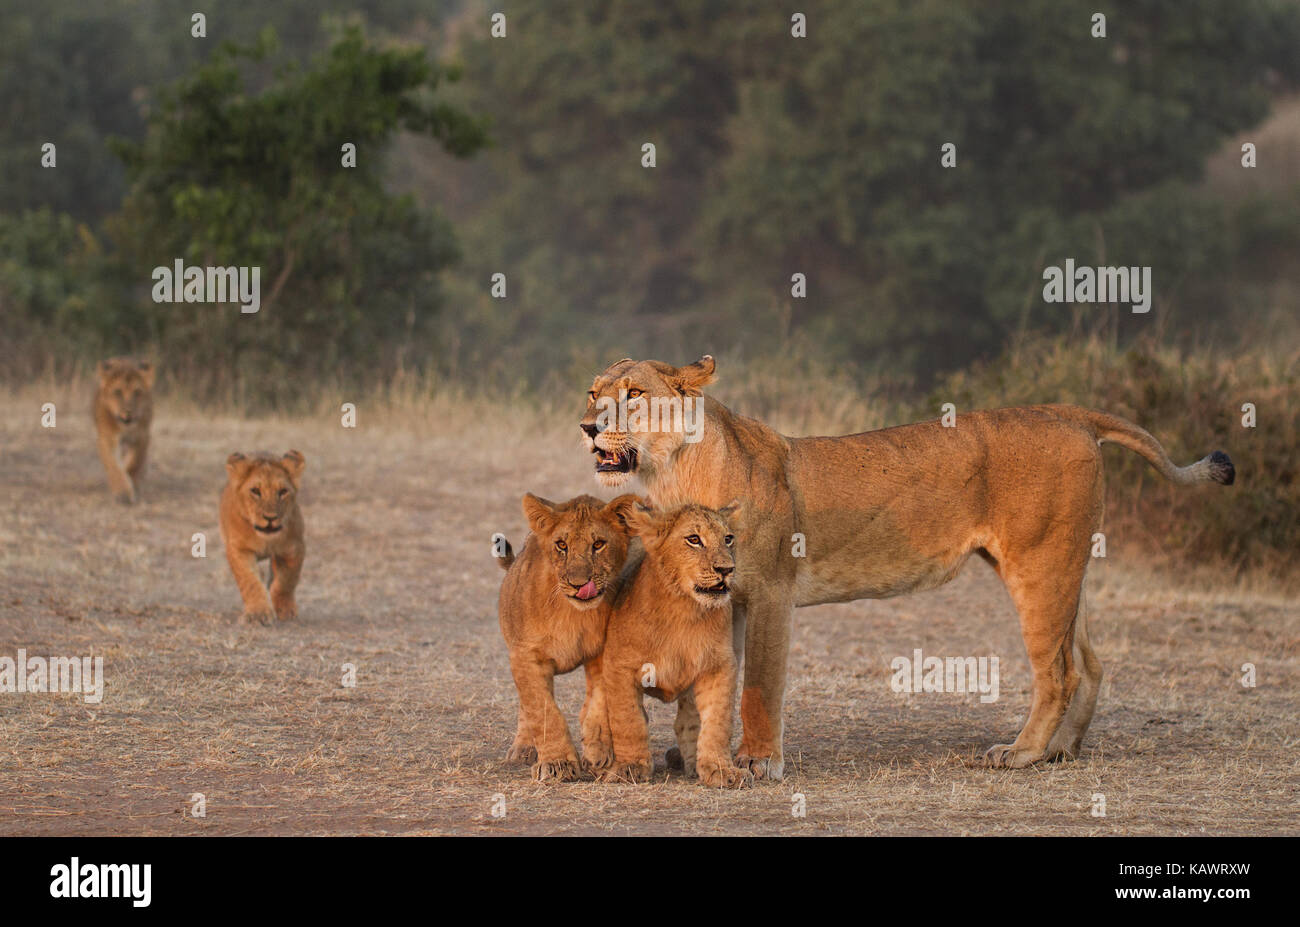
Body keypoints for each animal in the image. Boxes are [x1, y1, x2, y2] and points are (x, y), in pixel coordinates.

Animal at [92, 357, 155, 504]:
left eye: (137, 392)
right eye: (118, 392)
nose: (128, 413)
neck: (126, 428)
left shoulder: (142, 437)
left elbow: (134, 464)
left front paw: (132, 483)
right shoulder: (108, 438)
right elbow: (114, 466)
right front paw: (123, 494)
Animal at [218, 451, 307, 625]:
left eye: (283, 491)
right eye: (255, 491)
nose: (270, 518)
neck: (265, 539)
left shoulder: (293, 549)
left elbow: (286, 582)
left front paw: (285, 610)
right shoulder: (239, 549)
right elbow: (250, 581)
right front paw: (258, 614)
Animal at [496, 492, 641, 781]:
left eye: (598, 544)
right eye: (561, 545)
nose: (579, 584)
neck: (572, 614)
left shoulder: (605, 652)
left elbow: (600, 702)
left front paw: (598, 752)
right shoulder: (525, 656)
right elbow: (542, 710)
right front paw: (558, 763)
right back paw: (523, 749)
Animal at [596, 500, 751, 788]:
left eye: (728, 539)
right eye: (694, 540)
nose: (726, 569)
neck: (684, 610)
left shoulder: (720, 666)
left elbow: (718, 721)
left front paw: (720, 769)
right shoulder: (618, 667)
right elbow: (628, 719)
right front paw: (630, 767)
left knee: (687, 721)